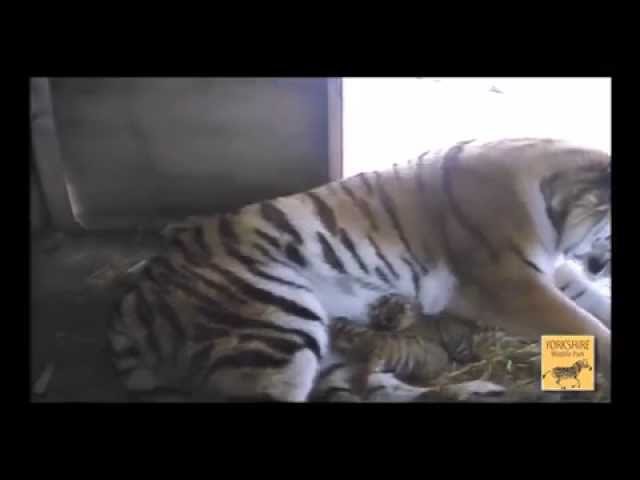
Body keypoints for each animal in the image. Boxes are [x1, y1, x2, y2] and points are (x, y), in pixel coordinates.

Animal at [107, 137, 611, 402]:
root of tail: (133, 298)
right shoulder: (510, 283)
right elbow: (585, 324)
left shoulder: (552, 273)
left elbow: (593, 302)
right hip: (278, 328)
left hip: (312, 344)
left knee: (371, 387)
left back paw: (480, 390)